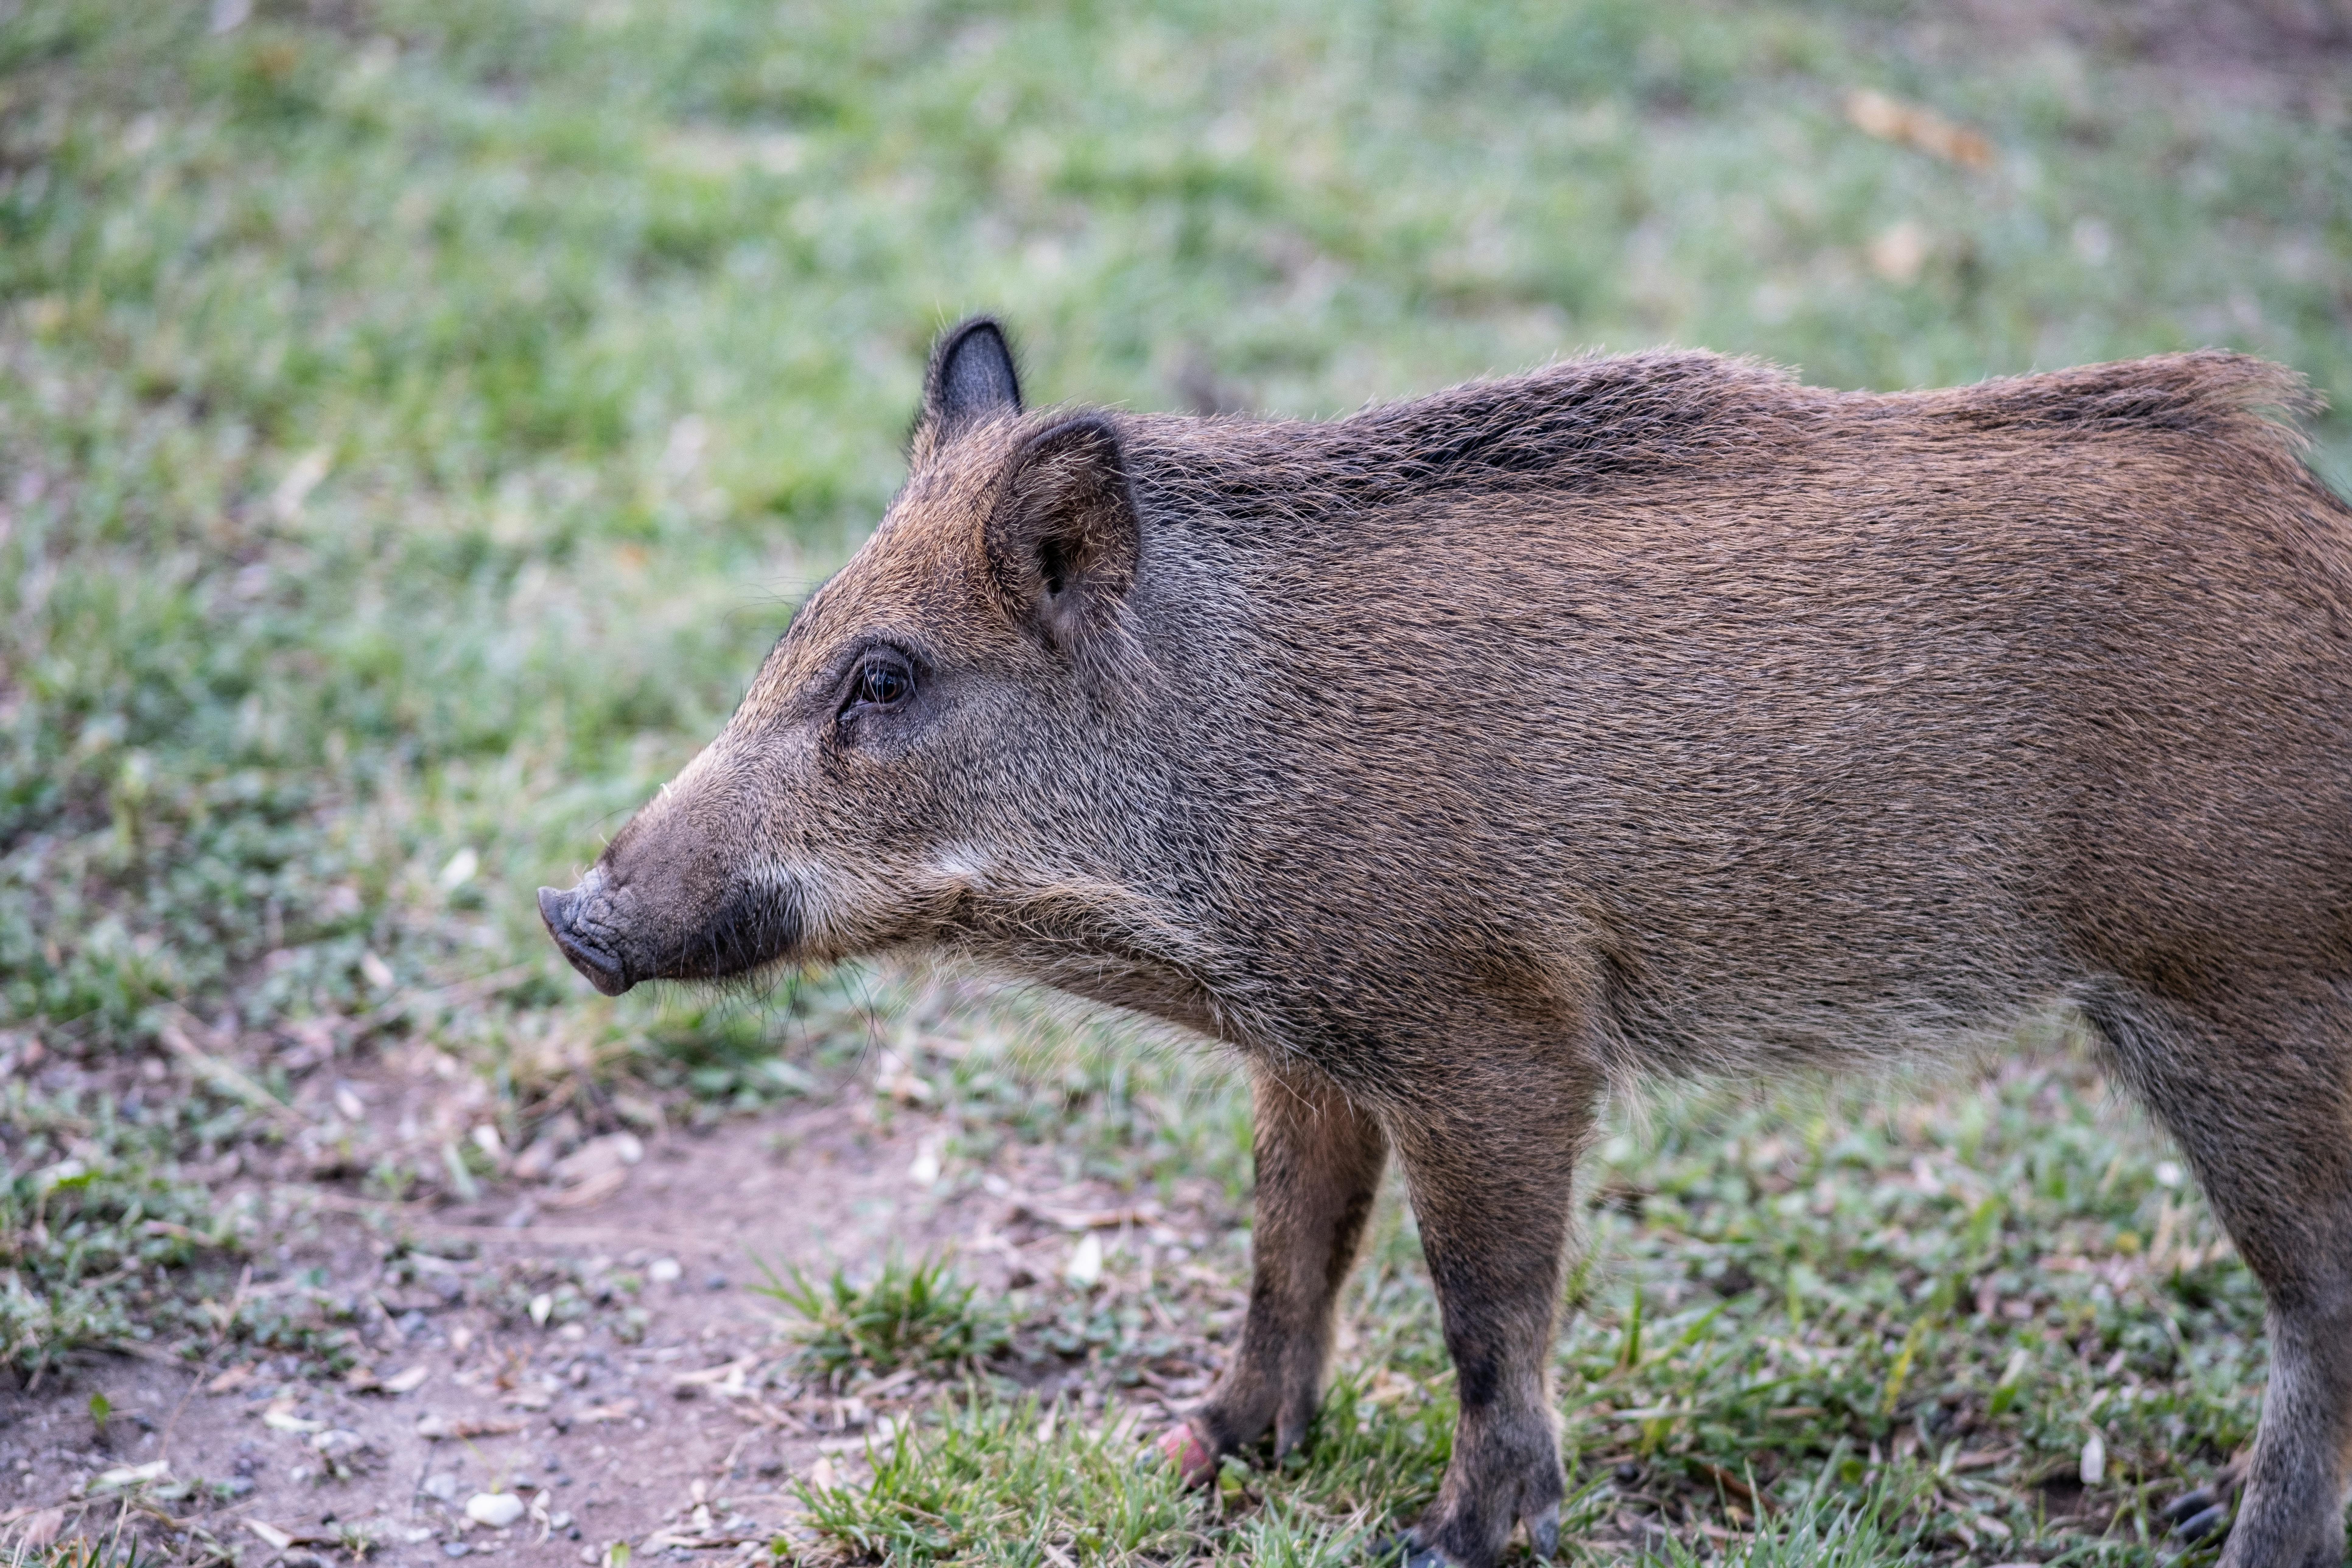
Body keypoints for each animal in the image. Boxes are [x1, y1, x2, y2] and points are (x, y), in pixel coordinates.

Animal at [541, 317, 2352, 1567]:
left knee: (2321, 1294)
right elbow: (1290, 1247)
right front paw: (1200, 1455)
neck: (1222, 759)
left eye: (887, 678)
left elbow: (1485, 1309)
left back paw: (2235, 1536)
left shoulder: (1499, 1040)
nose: (575, 912)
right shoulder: (1316, 1048)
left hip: (2234, 996)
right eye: (795, 635)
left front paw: (1452, 1539)